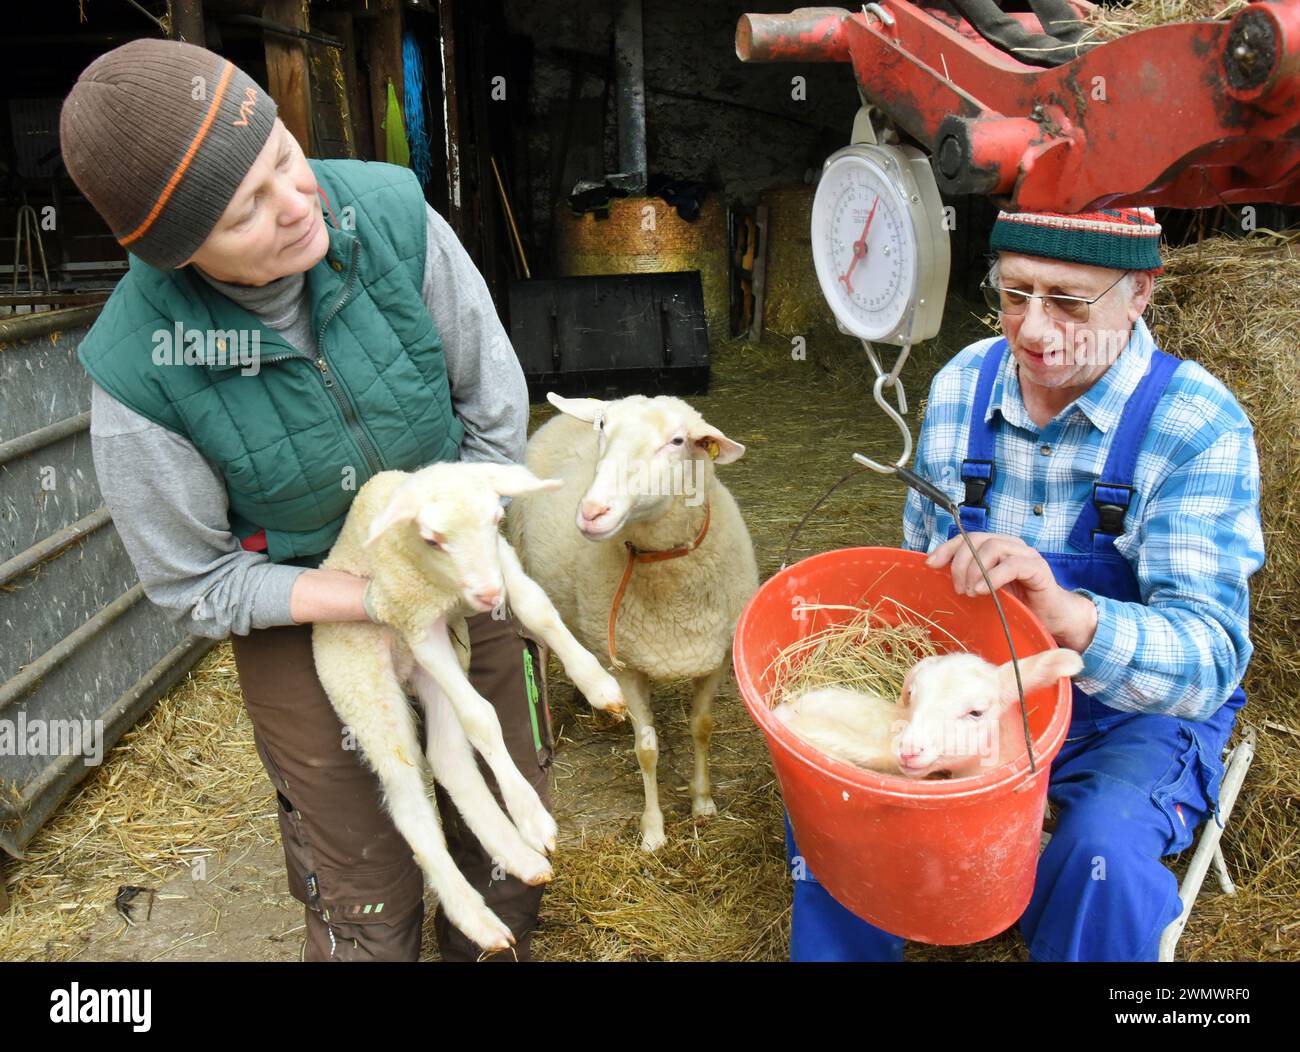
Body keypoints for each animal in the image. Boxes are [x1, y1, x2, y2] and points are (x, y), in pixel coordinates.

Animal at [312, 461, 627, 952]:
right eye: (432, 539)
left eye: (496, 521)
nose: (488, 596)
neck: (446, 588)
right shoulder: (418, 624)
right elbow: (482, 716)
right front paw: (530, 814)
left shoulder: (502, 563)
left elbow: (538, 612)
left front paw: (599, 686)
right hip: (363, 684)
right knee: (407, 797)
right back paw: (476, 917)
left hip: (436, 666)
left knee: (447, 758)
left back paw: (517, 857)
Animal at [505, 392, 760, 851]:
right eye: (604, 428)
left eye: (678, 441)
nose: (592, 512)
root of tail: (561, 418)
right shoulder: (627, 666)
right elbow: (647, 750)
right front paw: (653, 830)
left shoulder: (714, 658)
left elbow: (702, 727)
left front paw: (702, 802)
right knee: (544, 652)